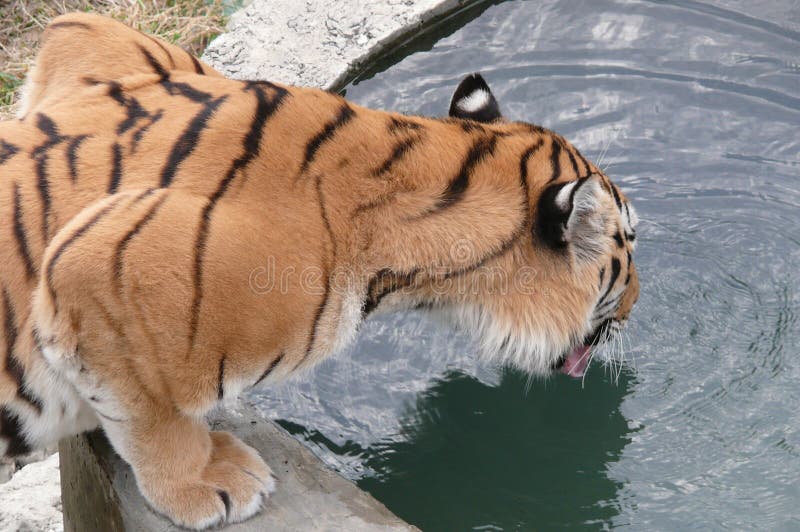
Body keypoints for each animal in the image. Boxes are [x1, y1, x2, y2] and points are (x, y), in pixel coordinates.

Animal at [0, 12, 639, 529]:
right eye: (628, 252)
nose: (637, 308)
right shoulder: (101, 259)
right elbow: (153, 411)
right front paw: (205, 482)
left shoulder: (88, 37)